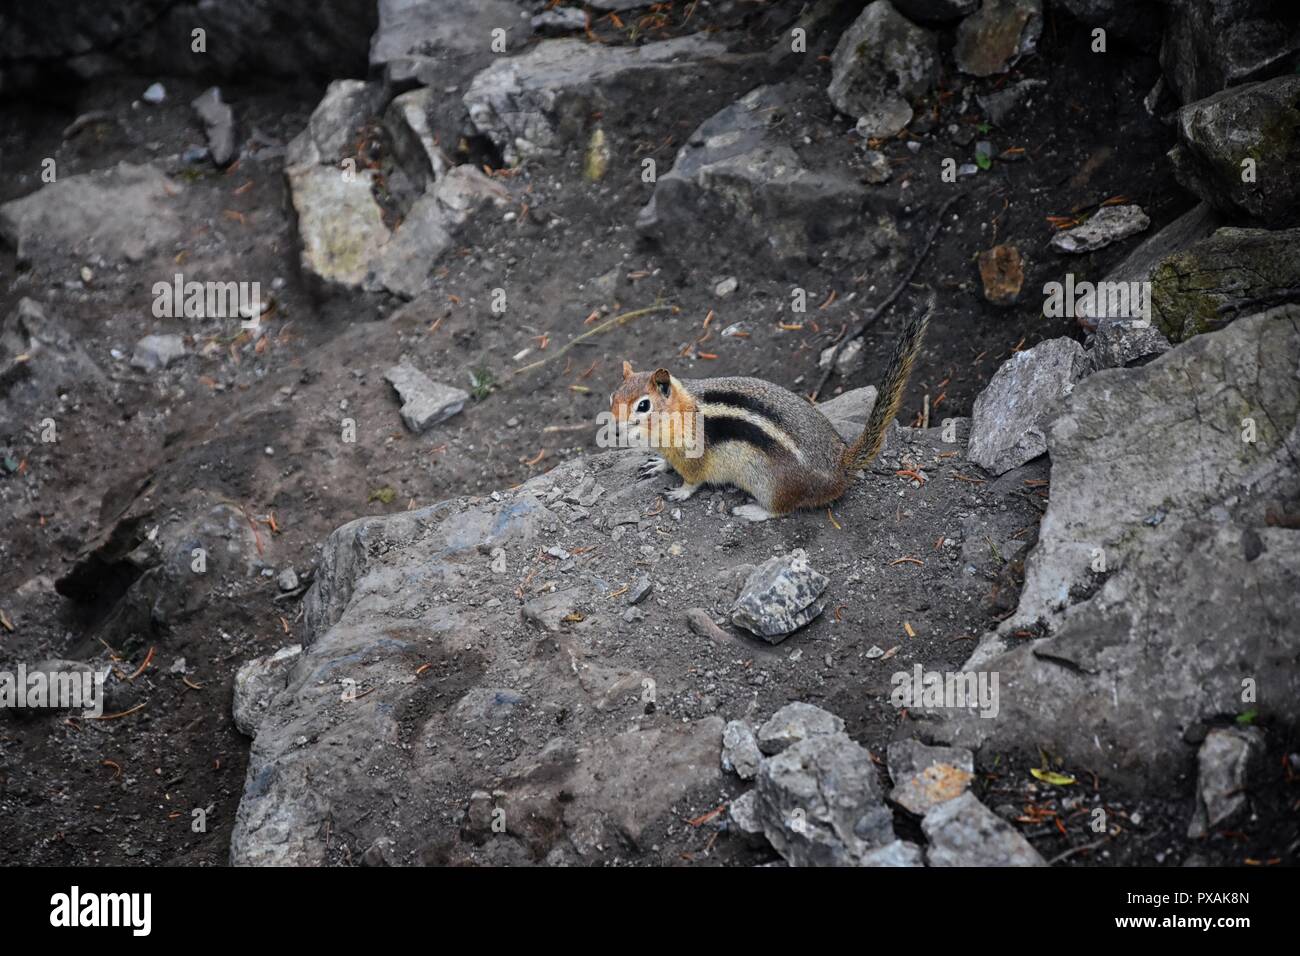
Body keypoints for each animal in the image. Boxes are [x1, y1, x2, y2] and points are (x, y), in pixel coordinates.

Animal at [610, 301, 931, 521]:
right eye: (613, 396)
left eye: (643, 405)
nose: (613, 429)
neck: (677, 414)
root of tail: (840, 465)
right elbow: (666, 461)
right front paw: (658, 464)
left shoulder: (693, 456)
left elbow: (693, 480)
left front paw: (679, 491)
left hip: (770, 484)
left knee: (782, 510)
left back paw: (752, 511)